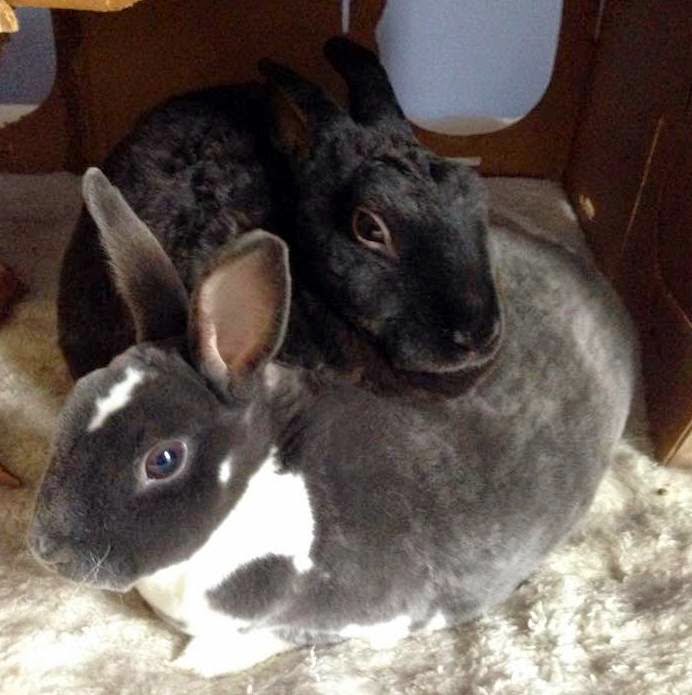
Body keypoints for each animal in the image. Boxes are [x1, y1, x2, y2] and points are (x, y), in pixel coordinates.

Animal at [30, 168, 637, 677]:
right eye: (76, 399)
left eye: (163, 460)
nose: (46, 550)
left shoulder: (370, 619)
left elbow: (279, 636)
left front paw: (199, 662)